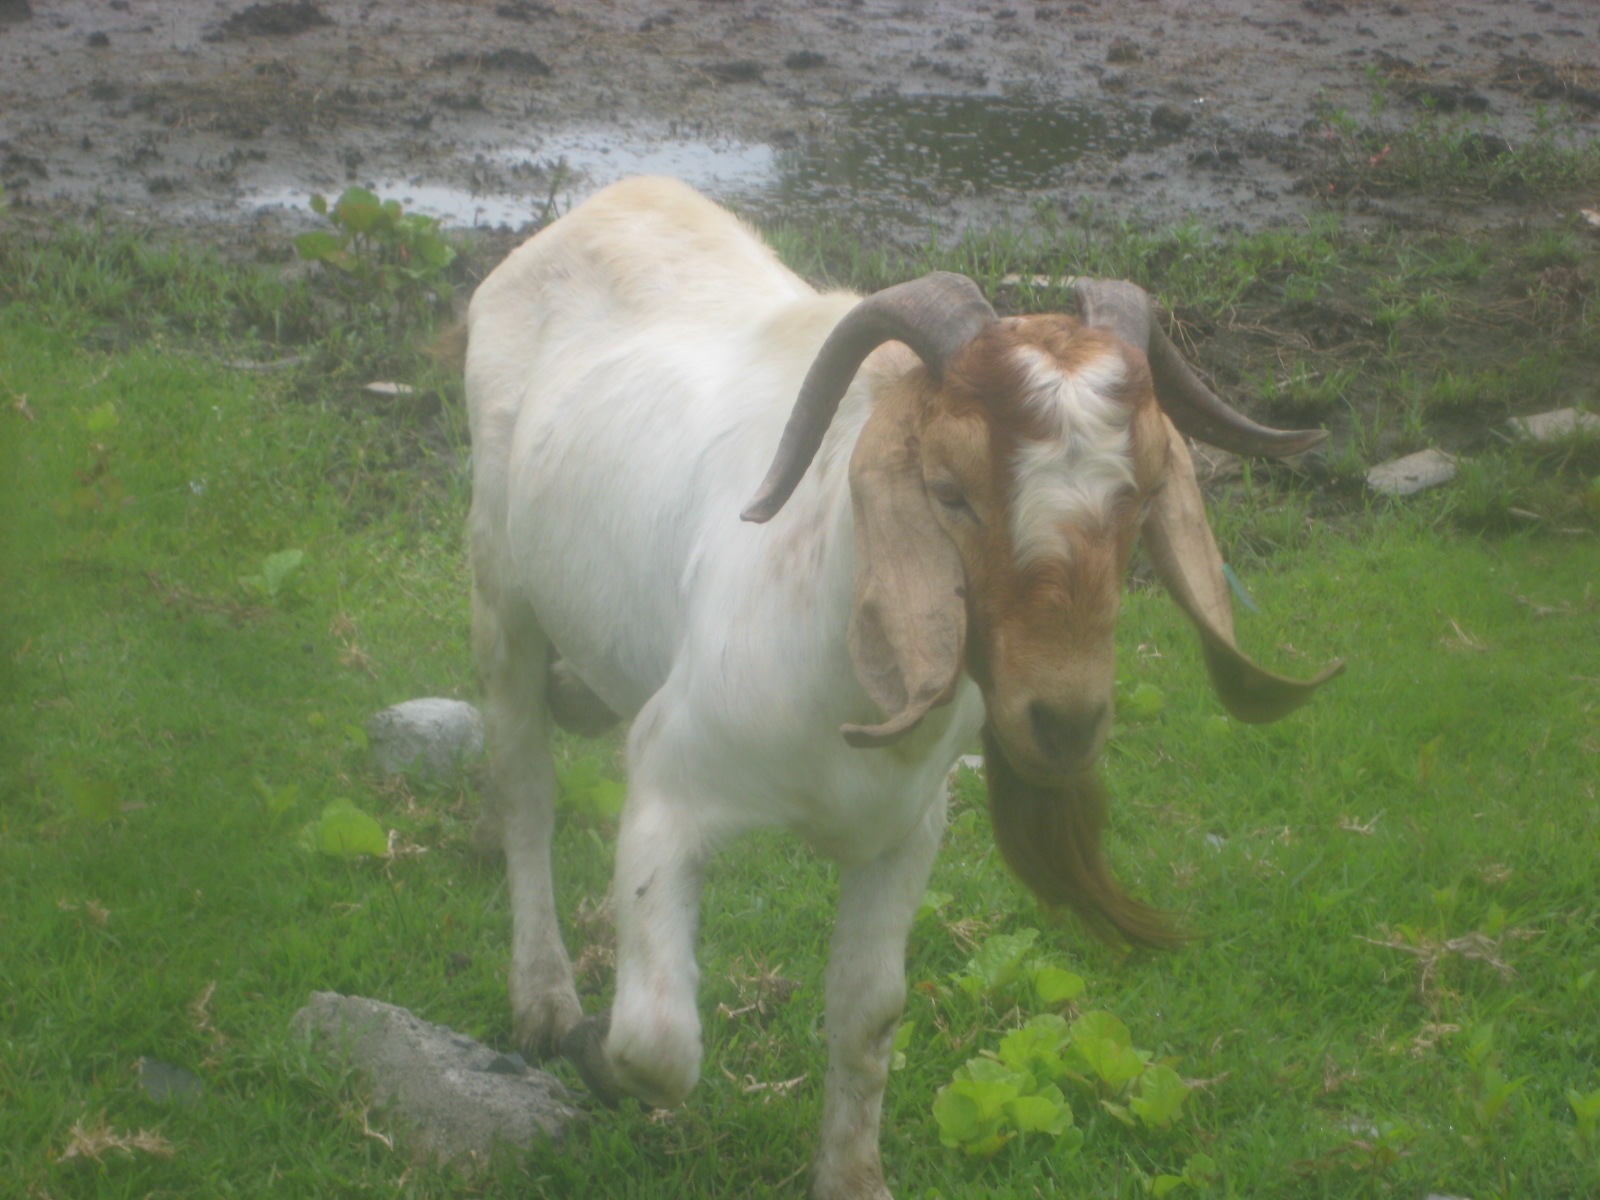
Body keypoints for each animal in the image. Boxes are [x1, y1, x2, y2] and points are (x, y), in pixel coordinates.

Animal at [462, 176, 1341, 1199]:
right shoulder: (669, 786)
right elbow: (659, 1044)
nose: (1063, 720)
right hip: (501, 589)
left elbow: (869, 1013)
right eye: (950, 490)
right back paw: (545, 1003)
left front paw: (851, 1176)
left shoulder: (906, 830)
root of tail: (617, 194)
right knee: (524, 788)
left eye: (1142, 495)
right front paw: (597, 1060)